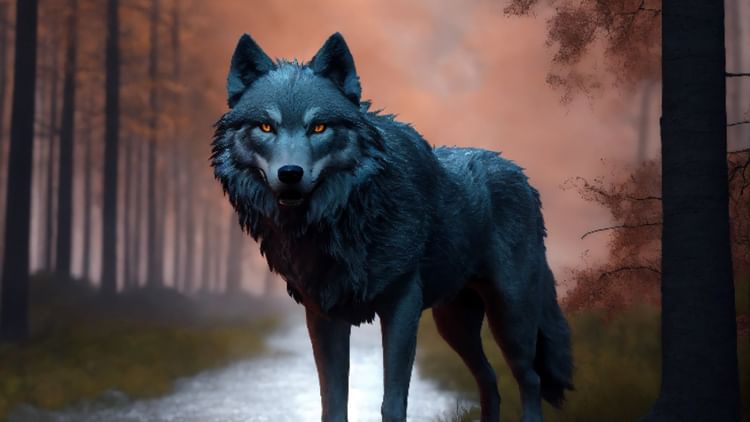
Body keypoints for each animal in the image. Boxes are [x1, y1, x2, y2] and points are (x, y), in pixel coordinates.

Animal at [211, 33, 573, 422]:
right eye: (266, 126)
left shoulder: (402, 306)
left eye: (319, 127)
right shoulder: (323, 314)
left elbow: (393, 401)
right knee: (488, 378)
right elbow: (332, 402)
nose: (290, 173)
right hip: (454, 325)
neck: (346, 219)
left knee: (530, 377)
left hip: (510, 315)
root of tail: (521, 175)